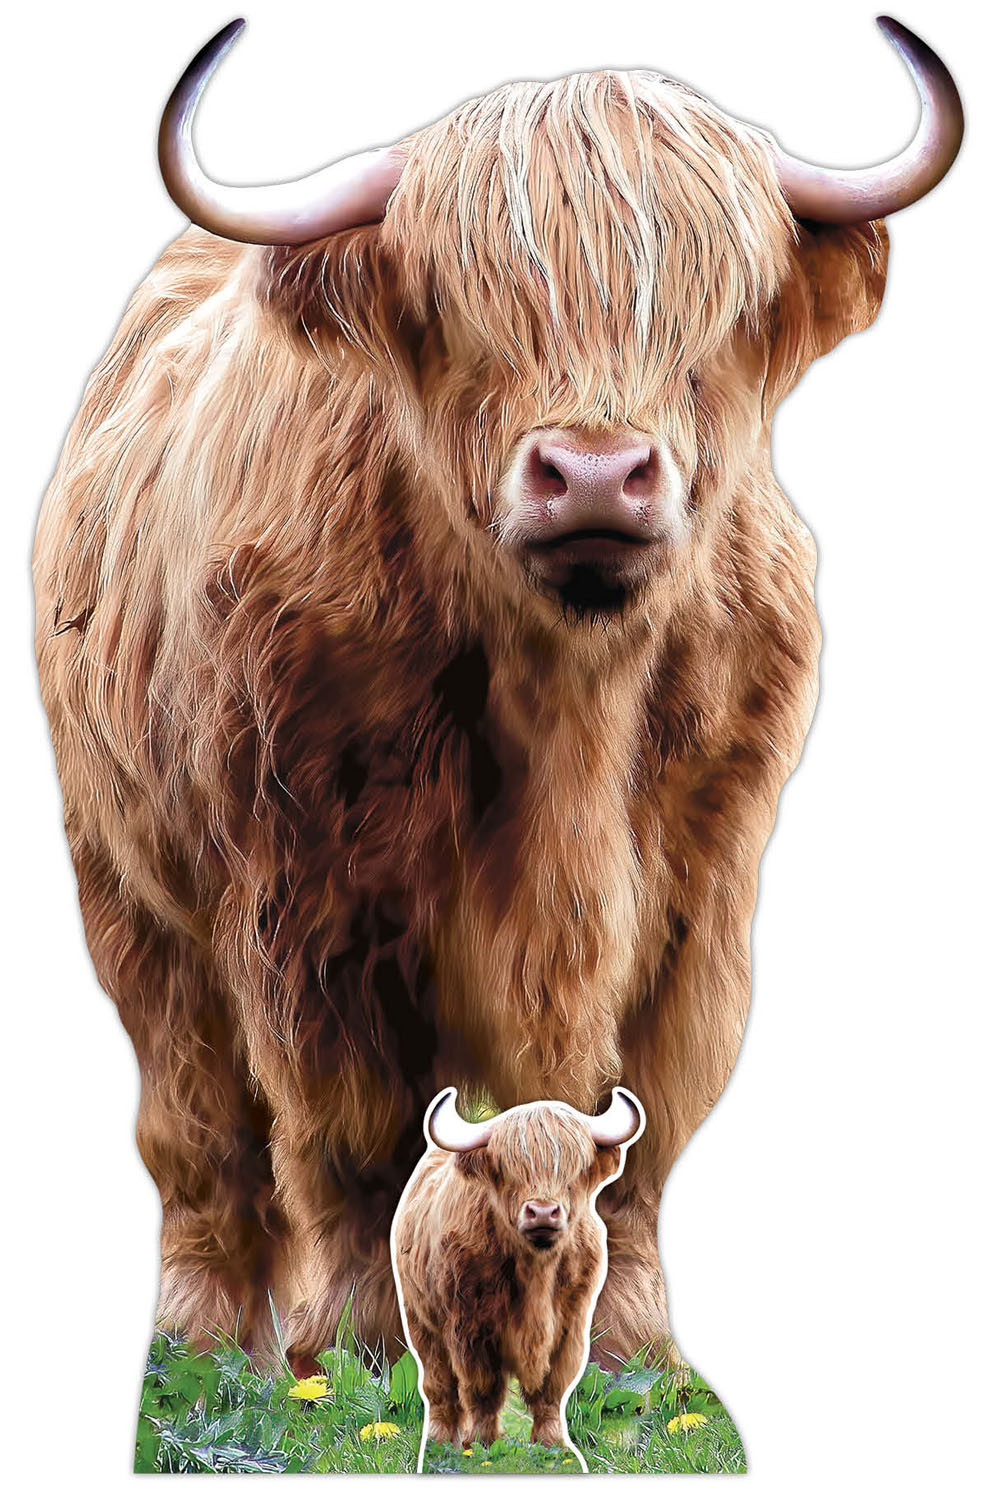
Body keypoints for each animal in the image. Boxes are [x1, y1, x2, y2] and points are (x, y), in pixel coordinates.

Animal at [33, 18, 962, 1374]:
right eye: (460, 307)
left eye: (720, 305)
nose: (595, 472)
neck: (564, 700)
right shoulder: (306, 903)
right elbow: (352, 1131)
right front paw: (362, 1347)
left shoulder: (698, 898)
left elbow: (639, 1126)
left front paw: (630, 1346)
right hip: (129, 888)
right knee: (196, 1130)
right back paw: (205, 1343)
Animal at [391, 1086, 644, 1456]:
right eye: (507, 1169)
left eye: (575, 1169)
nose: (543, 1212)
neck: (535, 1272)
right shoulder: (470, 1328)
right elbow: (482, 1389)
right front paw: (481, 1443)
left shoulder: (570, 1327)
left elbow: (552, 1388)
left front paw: (552, 1443)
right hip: (421, 1321)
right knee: (441, 1387)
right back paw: (441, 1439)